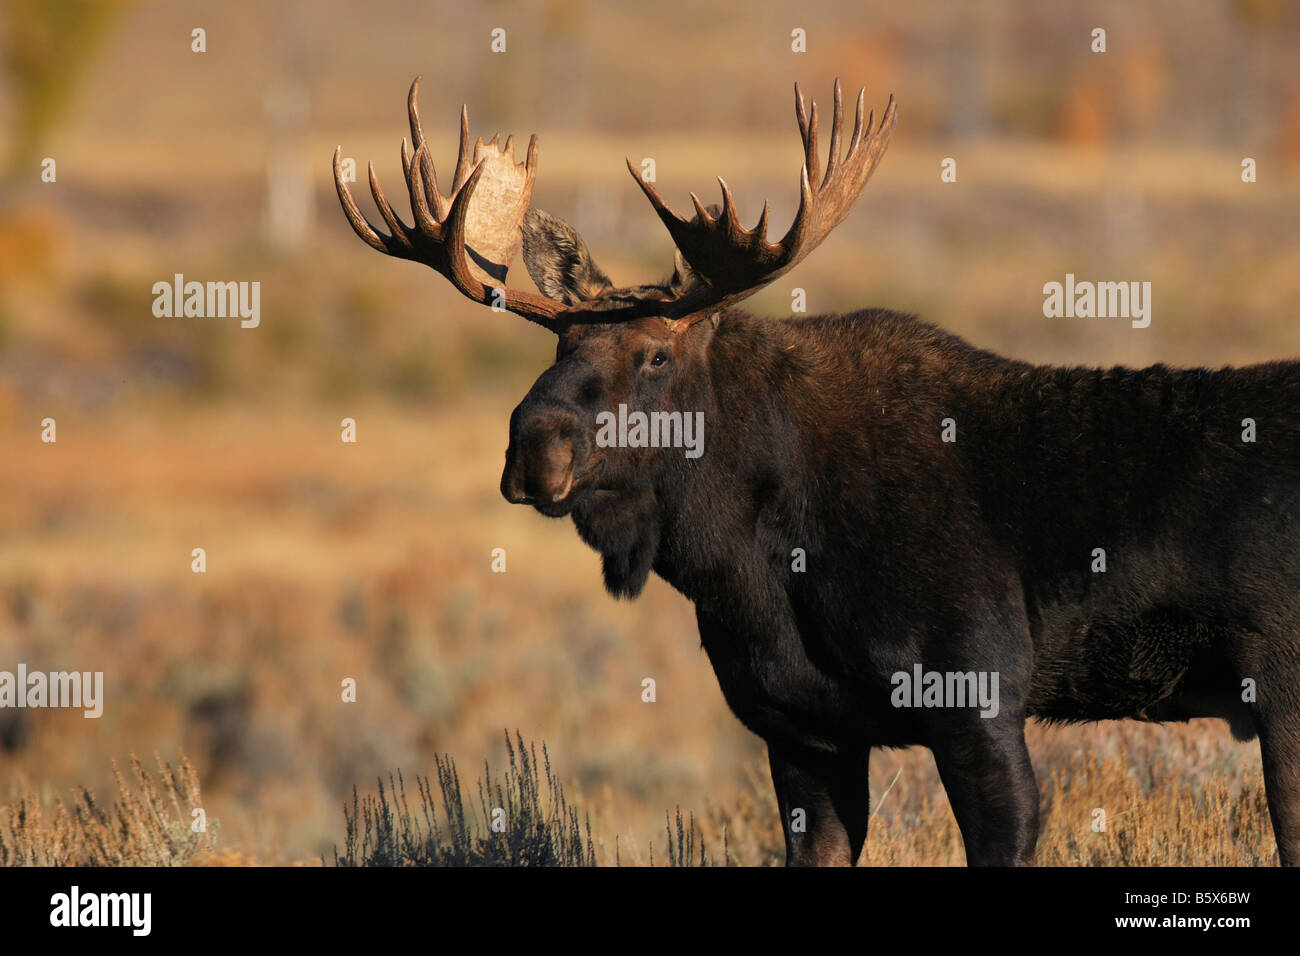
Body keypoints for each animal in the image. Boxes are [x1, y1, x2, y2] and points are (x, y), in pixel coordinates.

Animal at [333, 77, 1300, 866]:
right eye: (560, 344)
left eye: (655, 355)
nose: (533, 448)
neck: (754, 568)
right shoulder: (801, 729)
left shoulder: (978, 693)